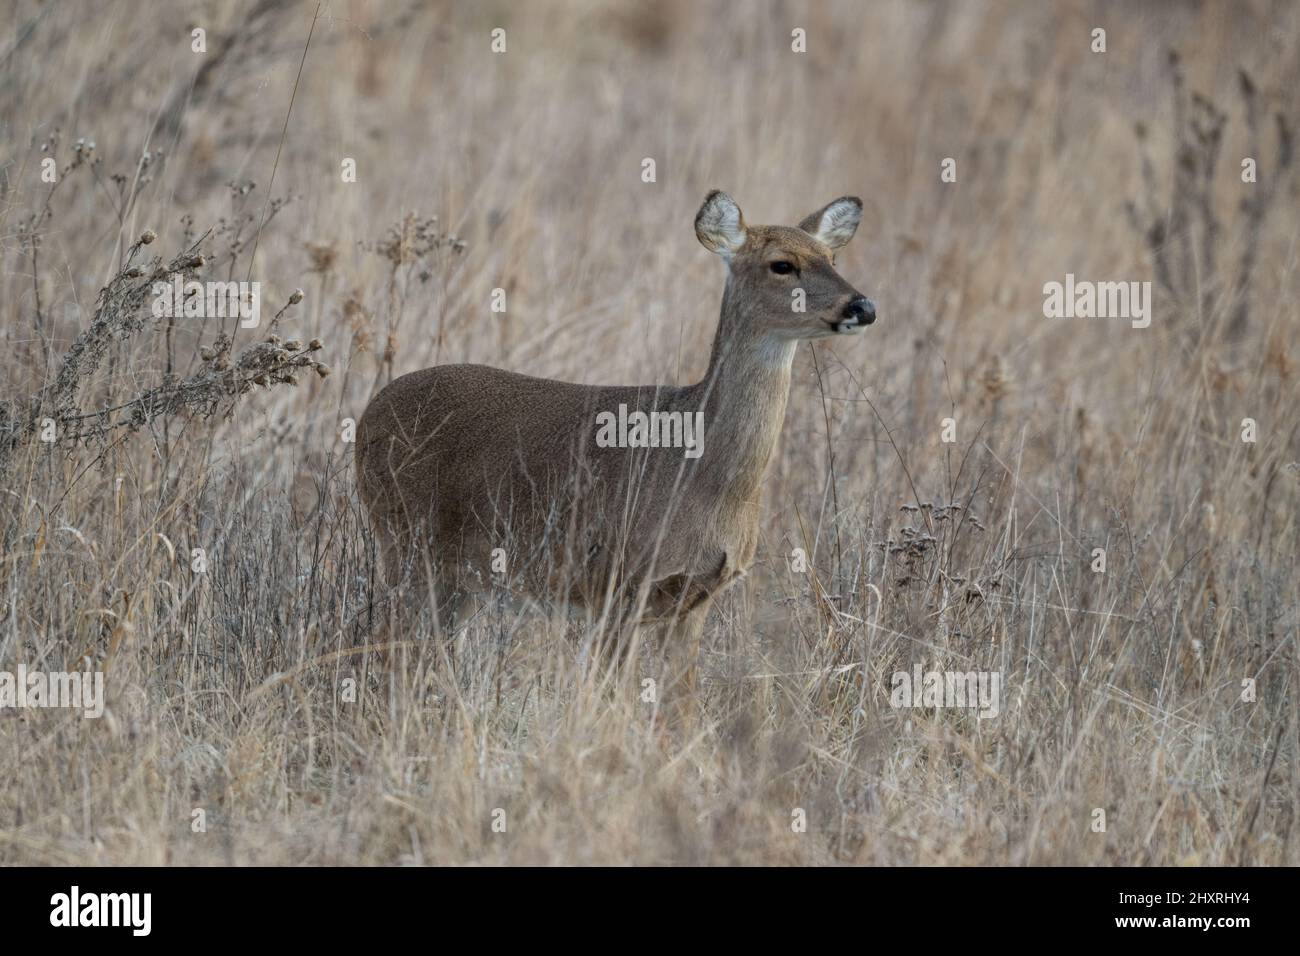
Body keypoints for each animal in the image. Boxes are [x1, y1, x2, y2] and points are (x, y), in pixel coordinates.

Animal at [355, 190, 875, 673]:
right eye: (782, 264)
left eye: (831, 259)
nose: (863, 305)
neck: (704, 471)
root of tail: (366, 416)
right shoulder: (617, 587)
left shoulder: (694, 603)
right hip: (403, 541)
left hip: (460, 578)